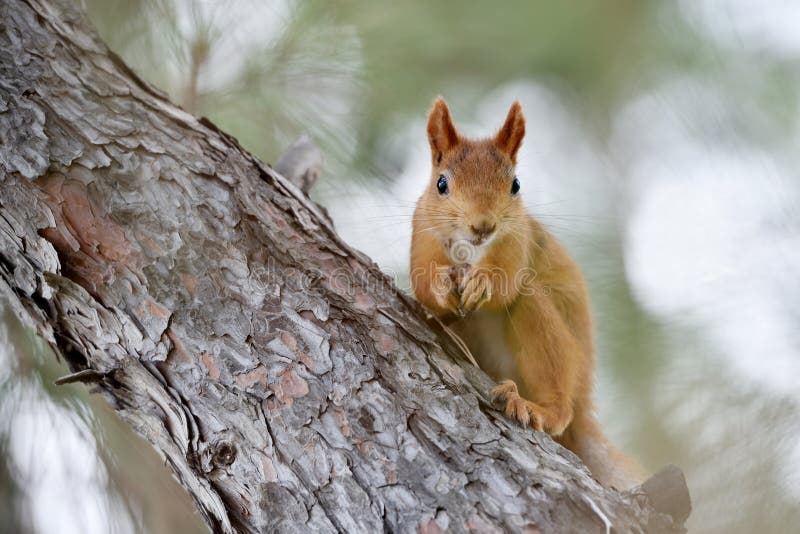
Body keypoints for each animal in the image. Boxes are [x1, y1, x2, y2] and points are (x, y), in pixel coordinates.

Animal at [410, 97, 642, 489]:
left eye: (515, 185)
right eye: (441, 184)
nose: (483, 226)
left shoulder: (520, 241)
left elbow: (506, 283)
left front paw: (483, 282)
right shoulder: (422, 230)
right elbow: (420, 281)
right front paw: (440, 286)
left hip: (551, 341)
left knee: (559, 403)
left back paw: (537, 408)